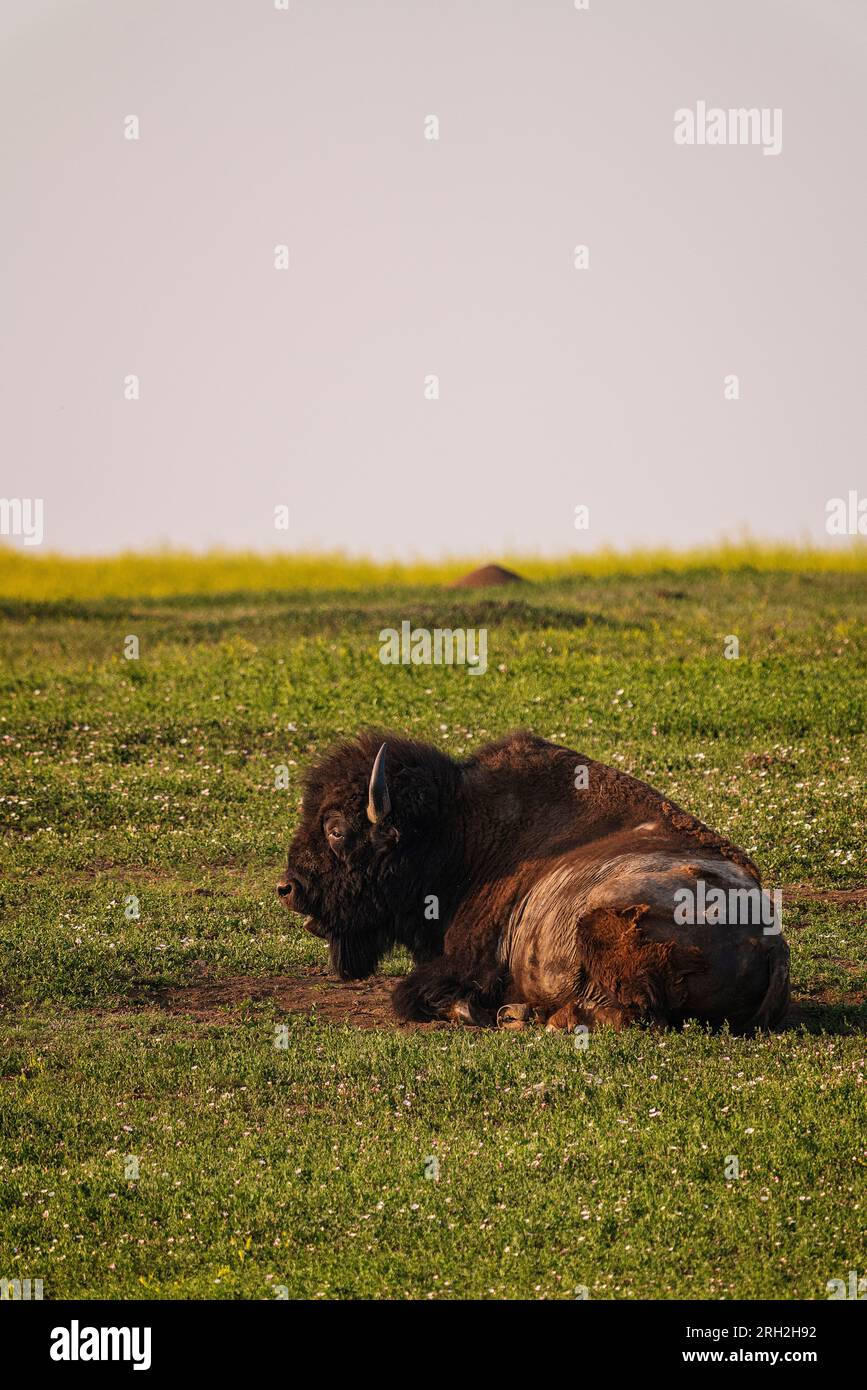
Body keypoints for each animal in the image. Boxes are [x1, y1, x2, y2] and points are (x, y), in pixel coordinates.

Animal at [277, 730, 790, 1033]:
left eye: (337, 829)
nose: (288, 889)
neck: (460, 830)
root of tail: (771, 944)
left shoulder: (470, 960)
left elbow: (408, 993)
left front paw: (465, 1009)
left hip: (603, 923)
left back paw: (523, 1015)